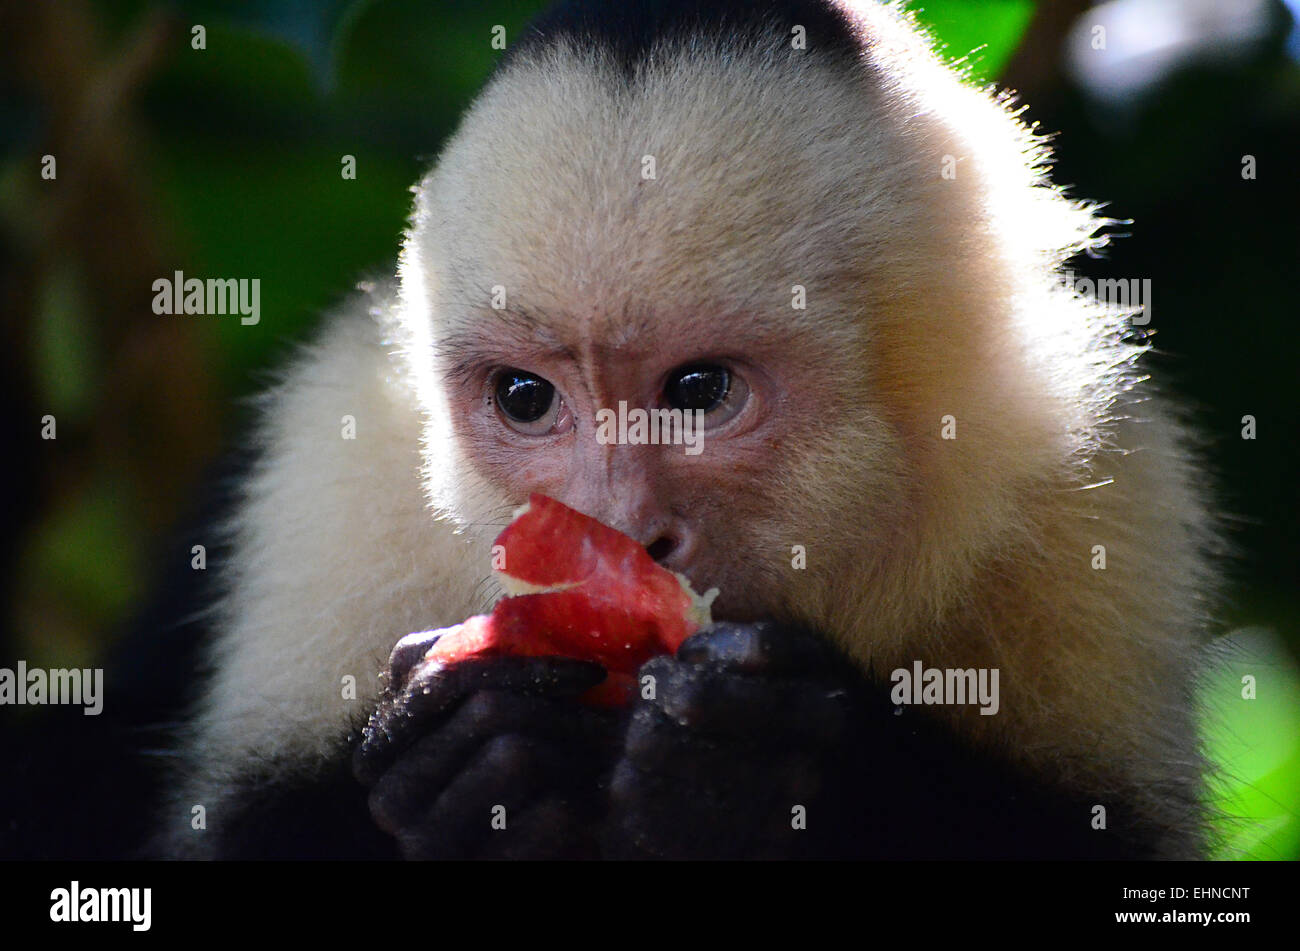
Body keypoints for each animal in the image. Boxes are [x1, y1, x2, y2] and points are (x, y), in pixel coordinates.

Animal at [157, 0, 1221, 859]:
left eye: (700, 390)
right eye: (525, 398)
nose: (621, 536)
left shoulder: (1101, 478)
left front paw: (775, 759)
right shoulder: (340, 448)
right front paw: (462, 753)